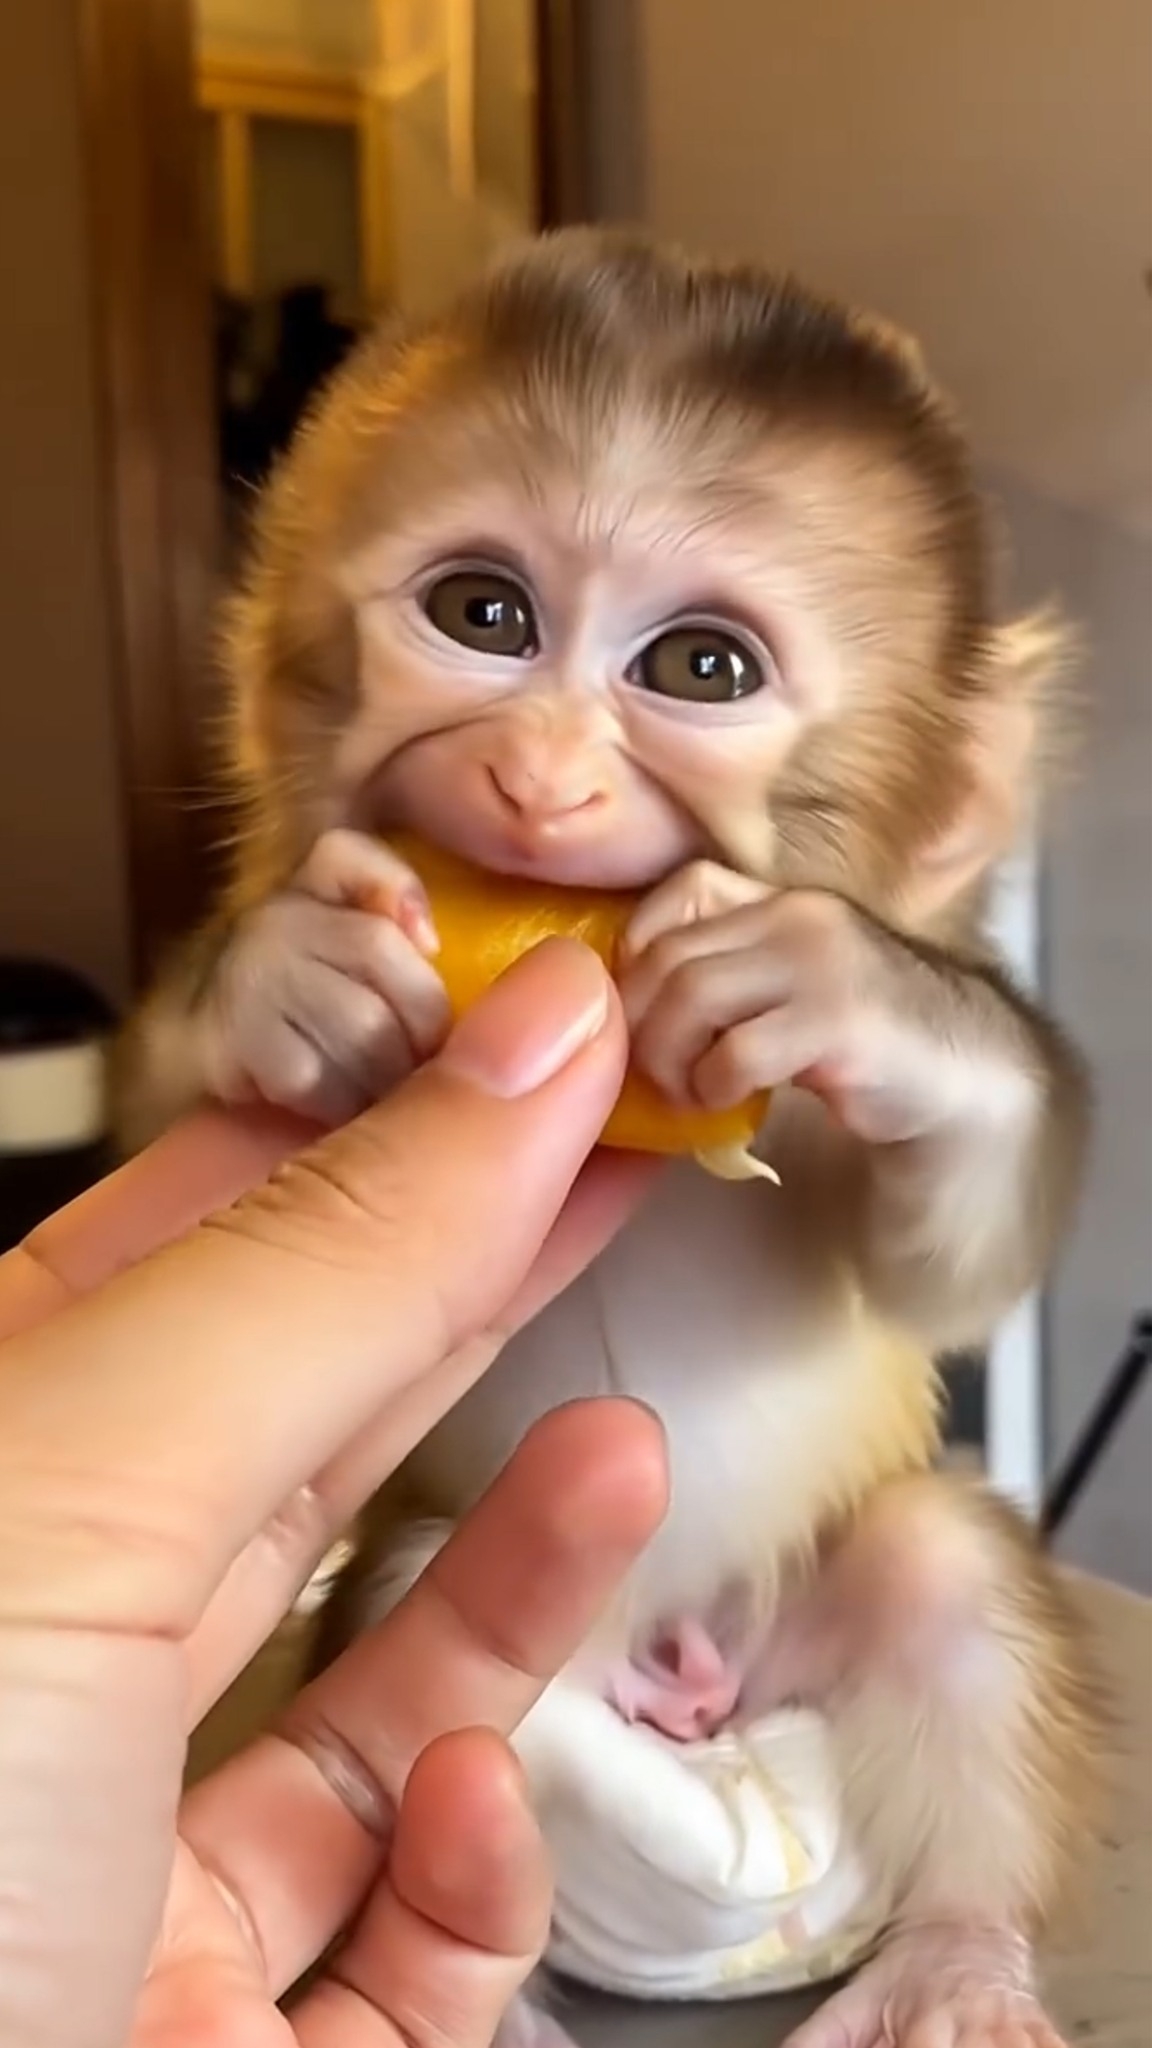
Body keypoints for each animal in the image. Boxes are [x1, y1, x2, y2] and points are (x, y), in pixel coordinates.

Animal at [118, 228, 1107, 2047]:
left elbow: (961, 1261)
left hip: (802, 1611)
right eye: (483, 614)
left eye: (700, 666)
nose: (537, 778)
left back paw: (955, 1957)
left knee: (937, 1561)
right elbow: (163, 1144)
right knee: (421, 1600)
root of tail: (693, 1670)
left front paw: (842, 986)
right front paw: (286, 978)